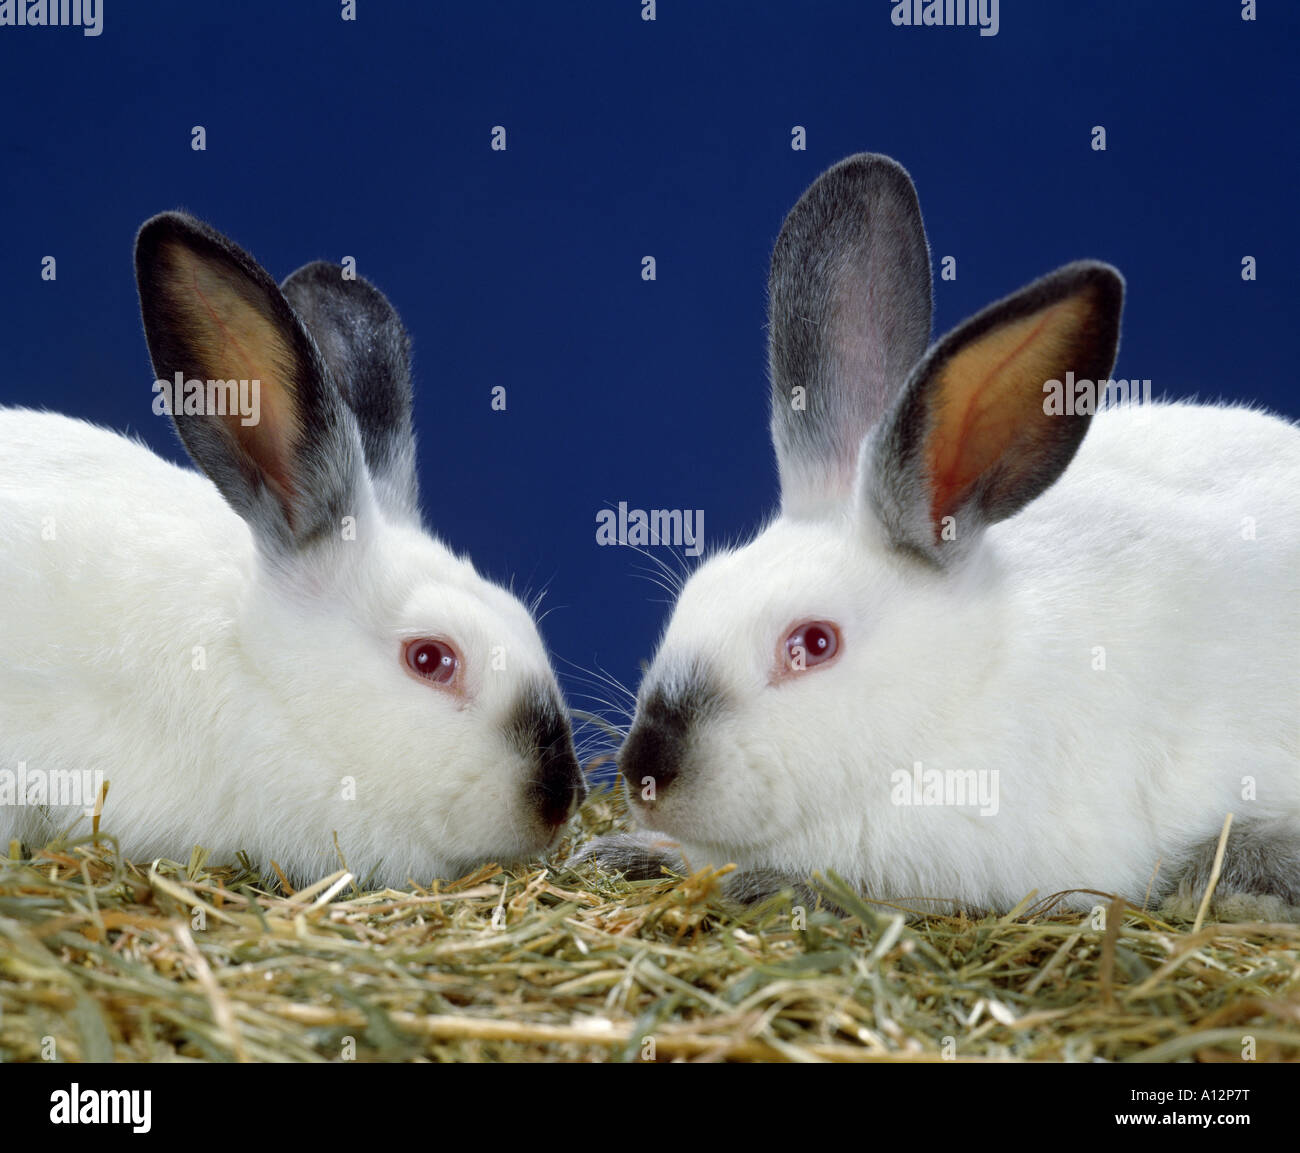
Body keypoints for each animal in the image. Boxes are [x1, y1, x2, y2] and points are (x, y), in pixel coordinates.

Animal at [582, 153, 1300, 922]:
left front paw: (765, 884)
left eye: (814, 643)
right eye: (693, 592)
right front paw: (627, 852)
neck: (958, 690)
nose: (646, 772)